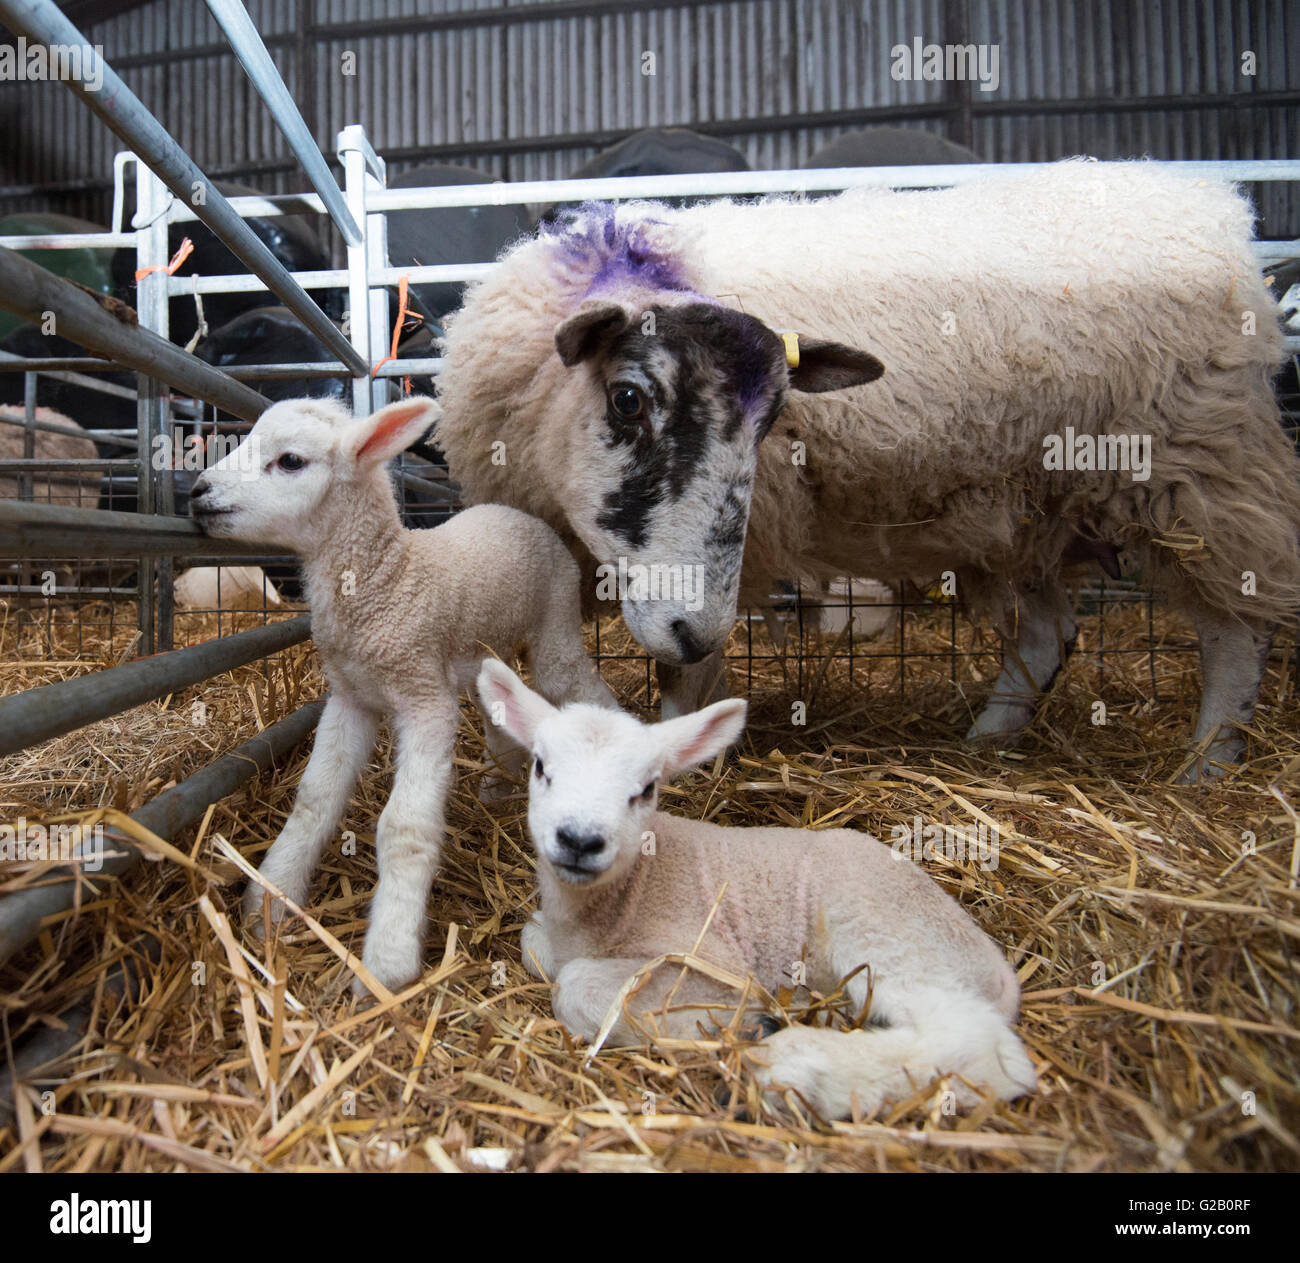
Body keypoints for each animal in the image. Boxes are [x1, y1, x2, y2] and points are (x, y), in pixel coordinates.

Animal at [190, 396, 615, 993]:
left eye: (291, 460)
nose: (197, 491)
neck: (387, 580)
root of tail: (517, 511)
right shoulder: (349, 696)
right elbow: (313, 800)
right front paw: (270, 903)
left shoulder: (422, 696)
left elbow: (405, 825)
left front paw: (388, 962)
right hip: (483, 649)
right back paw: (497, 789)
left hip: (556, 619)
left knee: (579, 683)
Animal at [436, 161, 1300, 781]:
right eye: (627, 397)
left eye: (773, 425)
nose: (693, 624)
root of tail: (1212, 209)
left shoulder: (746, 547)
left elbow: (688, 680)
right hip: (1032, 508)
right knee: (1050, 632)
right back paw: (986, 740)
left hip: (1194, 473)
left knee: (1237, 628)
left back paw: (1208, 766)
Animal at [477, 657, 1037, 1119]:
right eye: (540, 767)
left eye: (647, 789)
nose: (579, 839)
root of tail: (994, 964)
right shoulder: (549, 933)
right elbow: (534, 945)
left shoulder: (715, 965)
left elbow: (575, 986)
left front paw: (739, 1023)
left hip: (887, 931)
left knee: (982, 1047)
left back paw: (796, 1066)